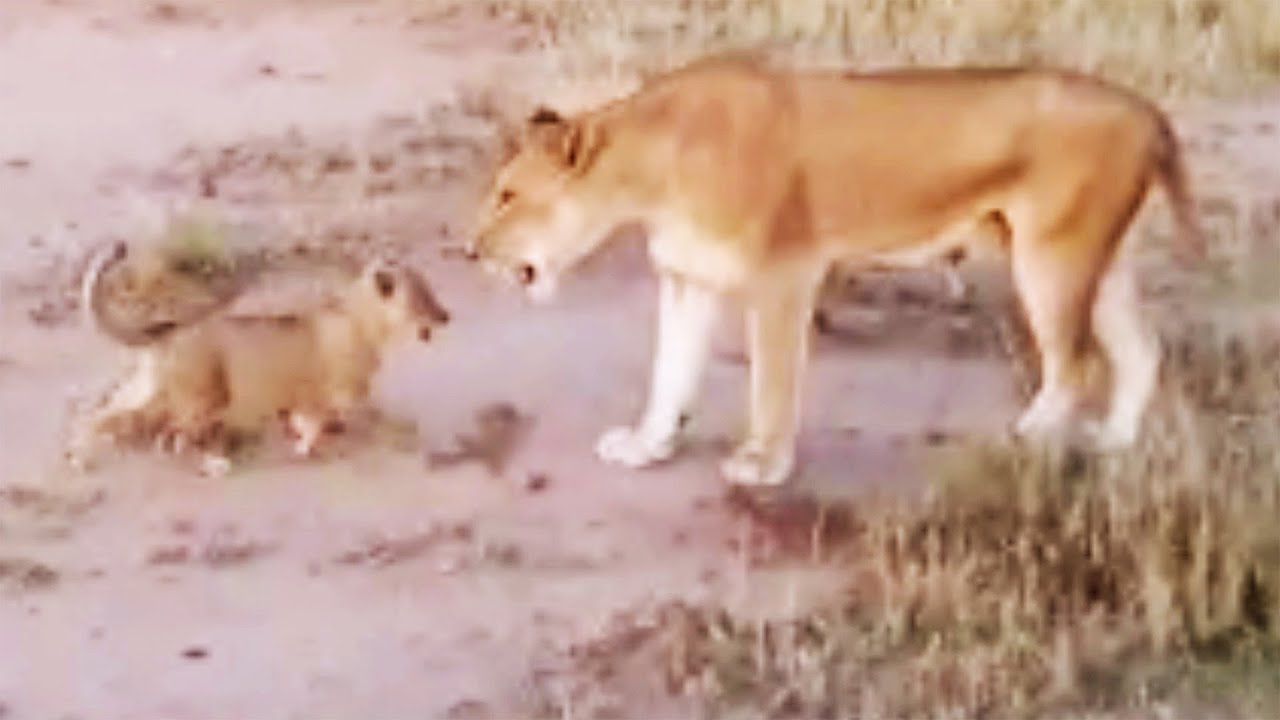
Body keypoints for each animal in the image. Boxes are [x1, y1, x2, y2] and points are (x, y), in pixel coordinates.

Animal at [68, 241, 451, 474]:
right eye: (423, 298)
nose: (446, 316)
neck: (363, 319)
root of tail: (168, 330)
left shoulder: (309, 398)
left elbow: (308, 422)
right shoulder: (333, 393)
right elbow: (318, 424)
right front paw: (306, 448)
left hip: (144, 391)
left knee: (101, 417)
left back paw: (79, 458)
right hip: (205, 398)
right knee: (177, 436)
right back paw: (216, 464)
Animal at [467, 53, 1203, 487]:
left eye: (508, 195)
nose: (469, 253)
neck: (652, 174)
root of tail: (1148, 110)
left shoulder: (783, 276)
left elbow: (772, 381)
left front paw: (763, 464)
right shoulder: (688, 278)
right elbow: (669, 372)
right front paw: (649, 447)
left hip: (1051, 258)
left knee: (1076, 365)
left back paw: (1023, 440)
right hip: (1098, 262)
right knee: (1141, 351)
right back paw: (1114, 444)